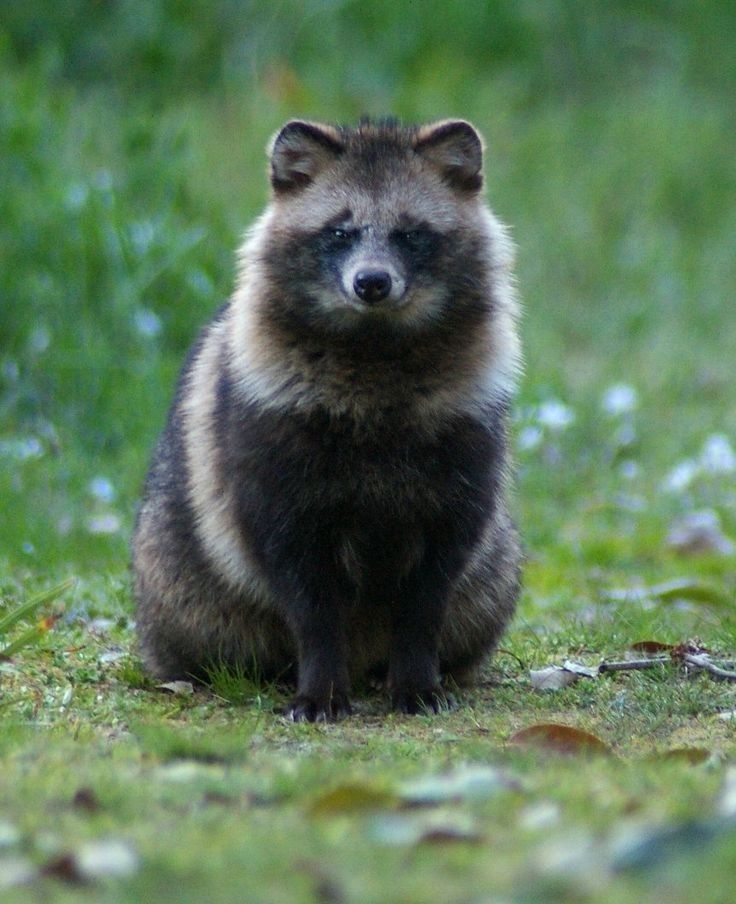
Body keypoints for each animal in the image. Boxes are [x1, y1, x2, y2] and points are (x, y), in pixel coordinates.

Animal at [132, 117, 522, 721]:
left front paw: (416, 677)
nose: (372, 283)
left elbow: (429, 592)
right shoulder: (269, 460)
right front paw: (319, 685)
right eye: (339, 232)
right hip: (176, 586)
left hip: (494, 577)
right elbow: (308, 599)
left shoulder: (464, 456)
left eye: (411, 234)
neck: (374, 347)